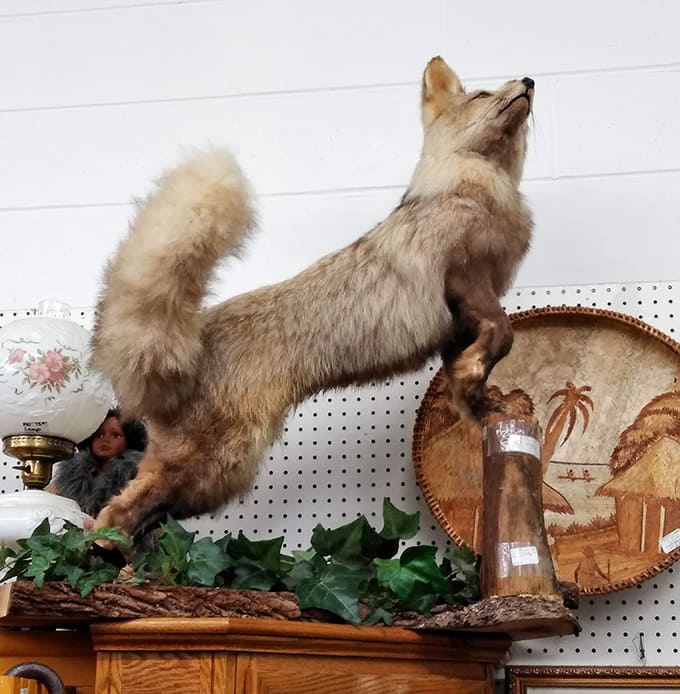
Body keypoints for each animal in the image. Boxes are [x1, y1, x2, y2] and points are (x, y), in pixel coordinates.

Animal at [92, 57, 535, 541]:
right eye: (482, 95)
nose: (529, 80)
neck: (472, 188)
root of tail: (192, 337)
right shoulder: (466, 280)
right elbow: (504, 336)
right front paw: (482, 386)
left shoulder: (460, 323)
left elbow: (470, 372)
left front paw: (485, 404)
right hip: (216, 466)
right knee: (115, 514)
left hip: (205, 479)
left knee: (137, 515)